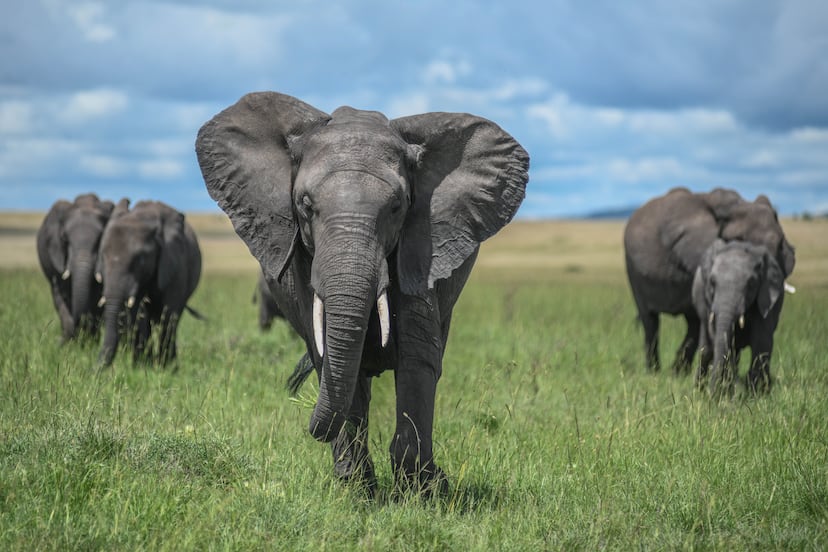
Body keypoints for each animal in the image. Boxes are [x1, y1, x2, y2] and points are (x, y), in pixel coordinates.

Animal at [36, 193, 114, 342]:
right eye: (65, 239)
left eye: (100, 240)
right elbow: (62, 293)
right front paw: (69, 342)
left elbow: (96, 298)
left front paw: (89, 341)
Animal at [96, 199, 202, 367]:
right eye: (102, 256)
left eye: (140, 259)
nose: (95, 369)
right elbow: (138, 315)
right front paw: (142, 366)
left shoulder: (176, 264)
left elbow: (169, 313)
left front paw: (166, 367)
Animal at [195, 91, 529, 494]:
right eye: (305, 205)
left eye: (398, 206)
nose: (310, 426)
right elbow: (333, 360)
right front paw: (356, 490)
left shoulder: (420, 247)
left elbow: (418, 358)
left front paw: (425, 491)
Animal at [624, 187, 795, 374]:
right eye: (740, 239)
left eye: (780, 244)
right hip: (633, 271)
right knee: (650, 321)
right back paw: (655, 372)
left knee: (693, 323)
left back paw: (678, 373)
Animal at [691, 239, 785, 396]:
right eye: (712, 282)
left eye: (751, 284)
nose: (712, 395)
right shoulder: (709, 302)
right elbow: (723, 343)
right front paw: (726, 393)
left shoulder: (766, 297)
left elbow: (761, 342)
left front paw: (756, 395)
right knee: (706, 351)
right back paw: (700, 392)